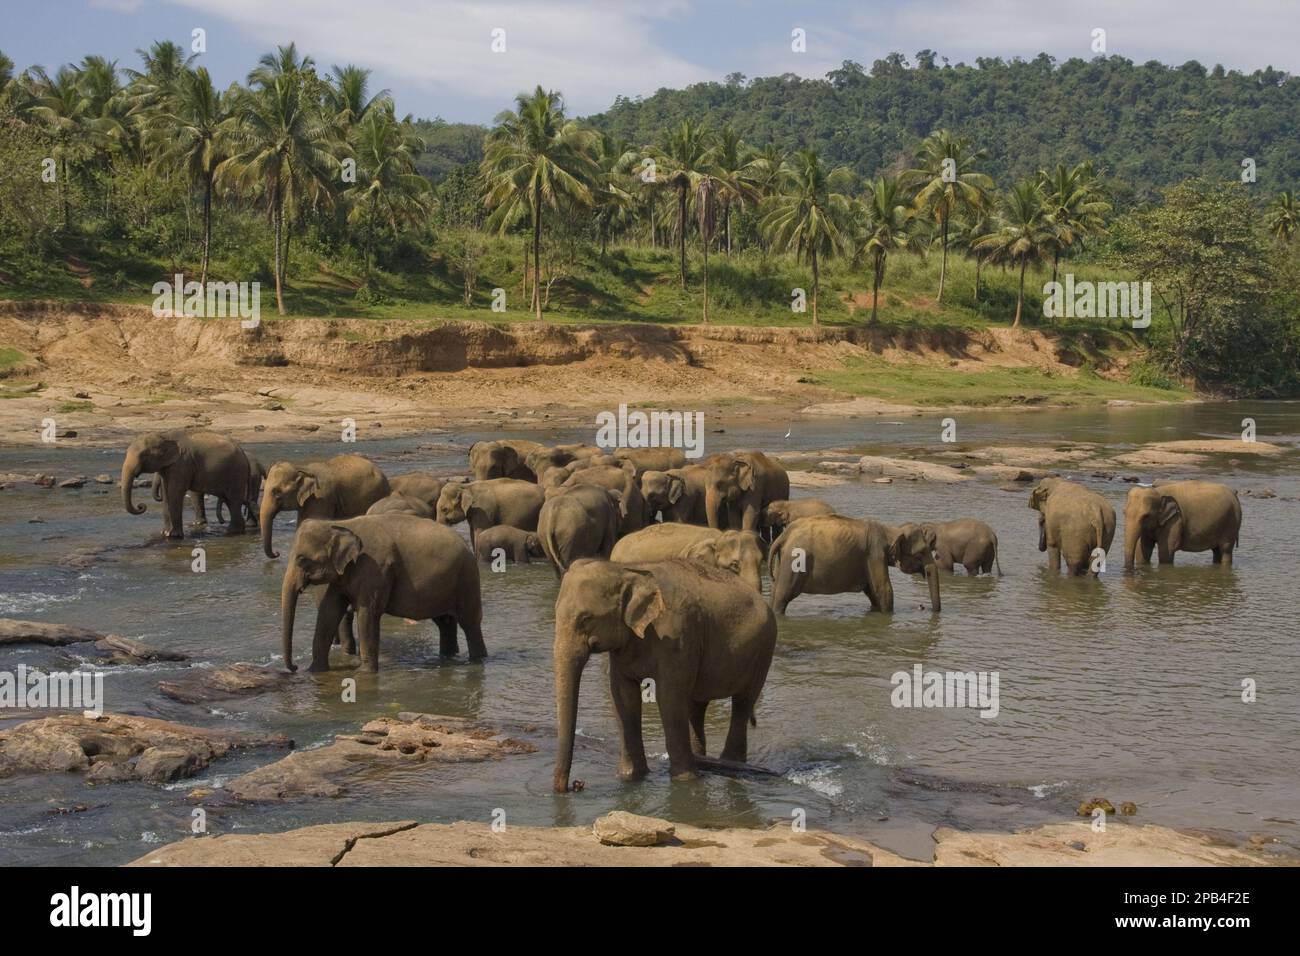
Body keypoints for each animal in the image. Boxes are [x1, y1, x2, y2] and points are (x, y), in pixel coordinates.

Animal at [121, 430, 251, 539]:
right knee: (231, 501)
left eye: (144, 455)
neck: (164, 436)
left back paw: (231, 532)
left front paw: (174, 536)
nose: (141, 506)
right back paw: (235, 531)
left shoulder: (182, 464)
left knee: (233, 501)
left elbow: (174, 492)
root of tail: (244, 454)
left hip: (236, 474)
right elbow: (166, 493)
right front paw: (164, 533)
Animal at [279, 515, 485, 672]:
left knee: (469, 623)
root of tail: (468, 546)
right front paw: (314, 671)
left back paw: (477, 660)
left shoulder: (374, 568)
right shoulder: (342, 574)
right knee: (445, 623)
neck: (341, 524)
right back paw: (447, 659)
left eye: (301, 560)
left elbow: (368, 613)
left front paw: (364, 673)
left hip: (466, 578)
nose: (295, 667)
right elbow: (328, 613)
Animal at [553, 558, 777, 792]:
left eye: (585, 618)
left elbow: (669, 696)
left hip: (763, 651)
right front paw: (630, 777)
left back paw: (730, 765)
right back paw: (704, 760)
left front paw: (685, 781)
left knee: (743, 702)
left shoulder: (676, 636)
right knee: (697, 705)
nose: (575, 785)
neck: (627, 571)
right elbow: (623, 696)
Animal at [768, 515, 940, 614]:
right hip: (794, 561)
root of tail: (783, 535)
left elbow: (873, 593)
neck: (890, 530)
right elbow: (883, 590)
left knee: (776, 591)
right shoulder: (874, 554)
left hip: (782, 561)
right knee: (783, 597)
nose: (925, 608)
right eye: (921, 553)